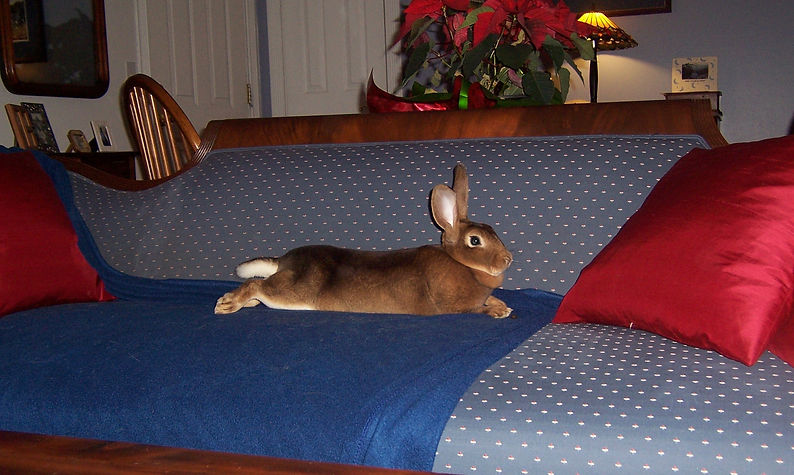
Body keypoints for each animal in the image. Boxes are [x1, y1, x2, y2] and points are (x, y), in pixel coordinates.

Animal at [214, 163, 514, 318]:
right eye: (475, 241)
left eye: (492, 229)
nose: (508, 259)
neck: (464, 266)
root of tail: (284, 261)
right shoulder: (455, 306)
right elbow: (477, 309)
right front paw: (499, 312)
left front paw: (504, 306)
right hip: (294, 294)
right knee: (255, 285)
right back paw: (226, 305)